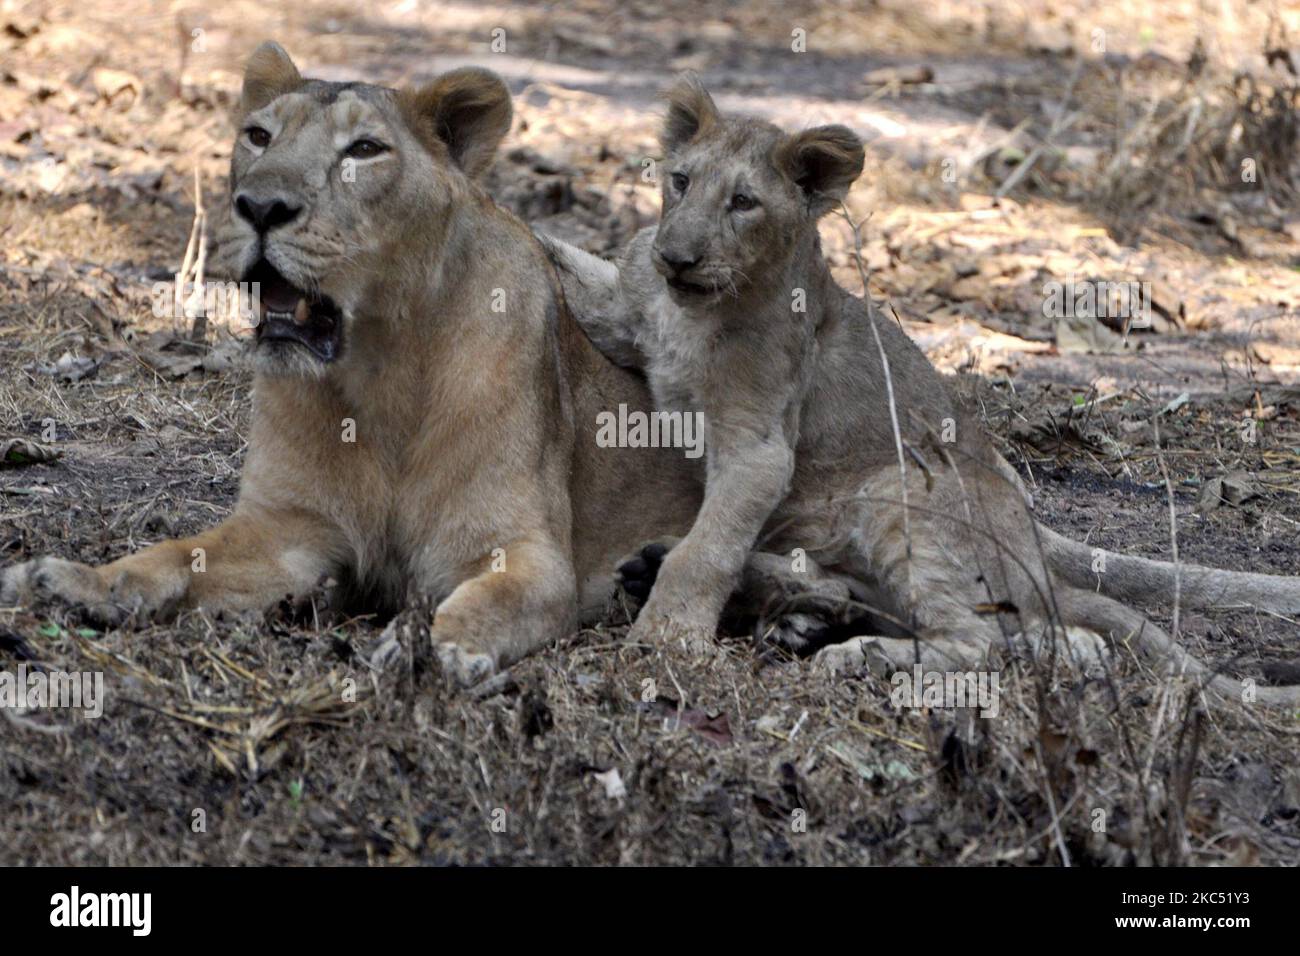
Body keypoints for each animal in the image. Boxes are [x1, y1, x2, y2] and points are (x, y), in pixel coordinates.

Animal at [0, 44, 836, 684]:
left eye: (364, 151)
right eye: (258, 135)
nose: (259, 207)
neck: (380, 369)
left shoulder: (531, 558)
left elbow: (480, 604)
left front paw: (430, 647)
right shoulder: (290, 529)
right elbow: (177, 556)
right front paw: (76, 582)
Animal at [542, 74, 1300, 705]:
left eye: (743, 203)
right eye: (679, 180)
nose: (676, 257)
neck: (692, 314)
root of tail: (1030, 539)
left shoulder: (759, 446)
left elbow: (710, 549)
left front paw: (667, 636)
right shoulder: (626, 314)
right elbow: (572, 266)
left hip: (900, 490)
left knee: (983, 640)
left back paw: (854, 655)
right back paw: (785, 614)